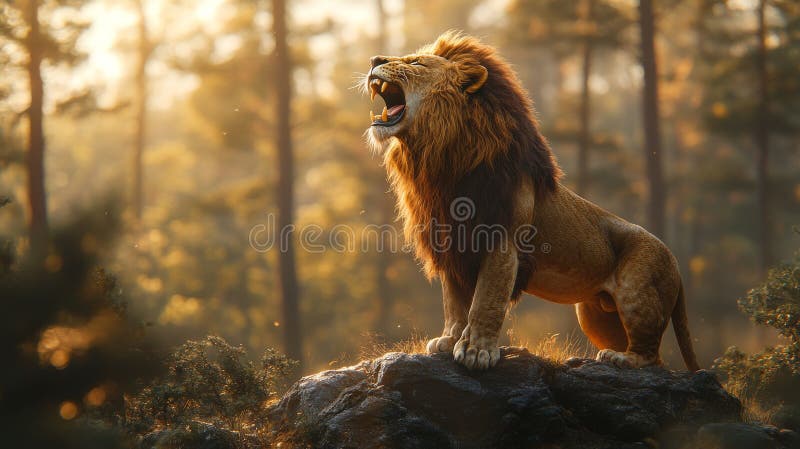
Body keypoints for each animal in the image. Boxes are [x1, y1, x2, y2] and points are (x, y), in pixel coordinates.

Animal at [364, 31, 699, 372]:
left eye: (415, 62)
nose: (374, 59)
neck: (440, 157)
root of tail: (675, 261)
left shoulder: (501, 241)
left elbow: (485, 301)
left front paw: (476, 350)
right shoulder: (451, 244)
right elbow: (455, 302)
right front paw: (449, 339)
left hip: (637, 291)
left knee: (651, 356)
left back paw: (621, 359)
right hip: (595, 314)